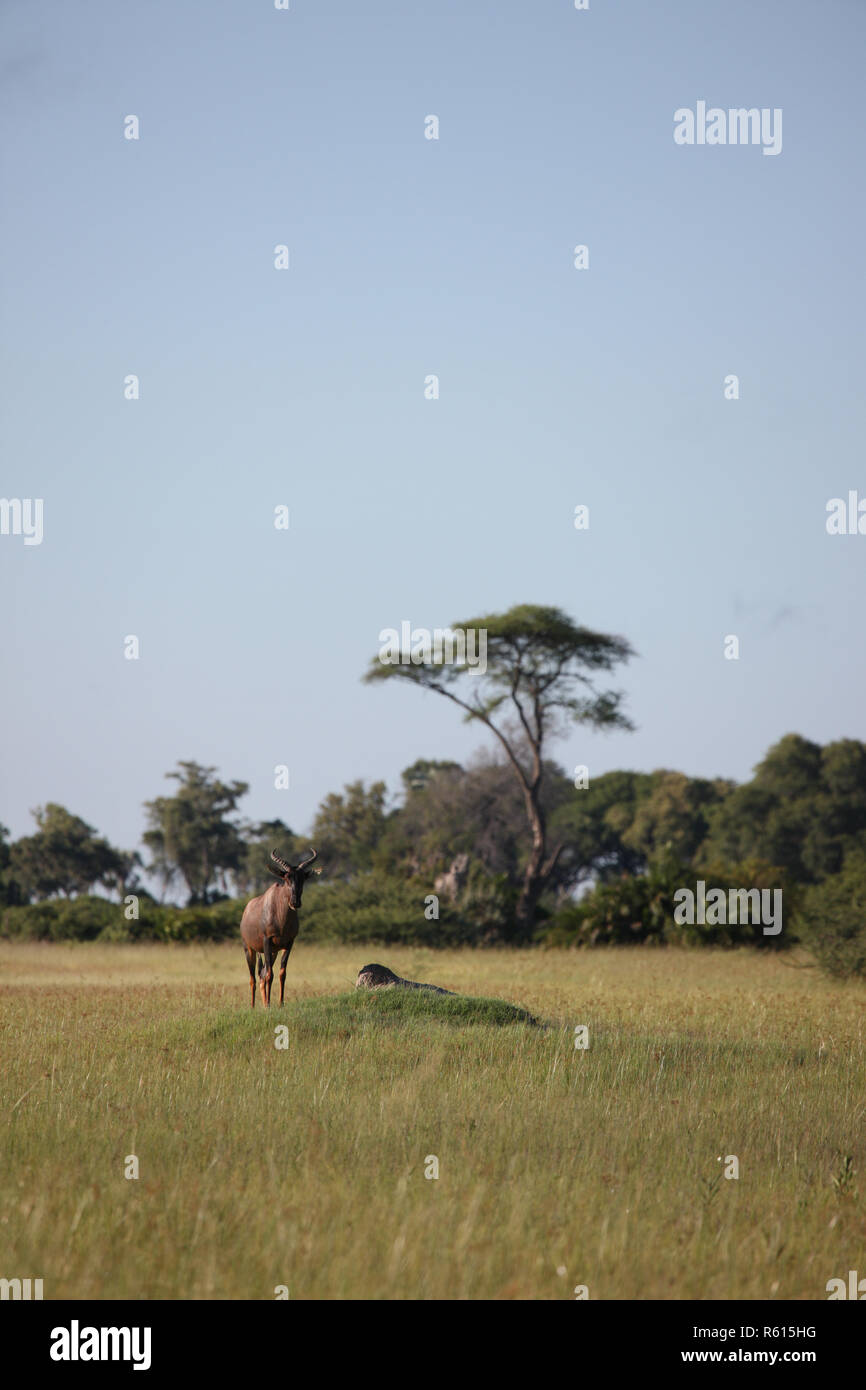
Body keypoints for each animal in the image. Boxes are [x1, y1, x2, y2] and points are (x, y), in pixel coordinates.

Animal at [240, 848, 318, 1007]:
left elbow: (282, 973)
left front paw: (280, 1003)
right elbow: (270, 975)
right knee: (253, 978)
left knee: (262, 974)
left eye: (303, 878)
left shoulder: (289, 943)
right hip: (249, 949)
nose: (295, 902)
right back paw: (253, 1006)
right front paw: (270, 1005)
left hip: (273, 952)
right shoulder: (267, 941)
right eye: (286, 878)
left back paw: (264, 1004)